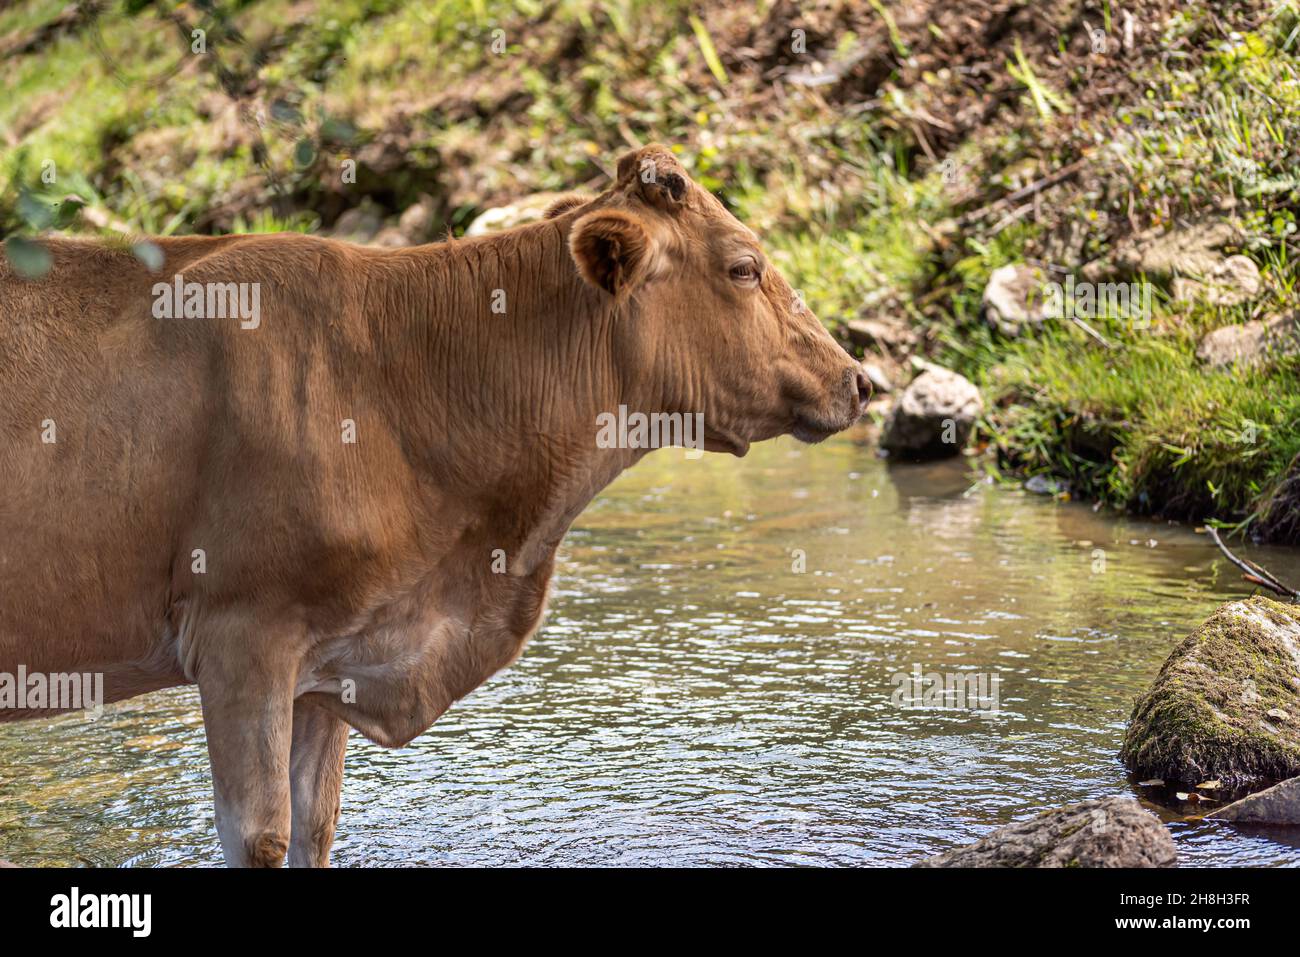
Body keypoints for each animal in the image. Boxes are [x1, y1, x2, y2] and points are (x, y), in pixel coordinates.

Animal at [0, 145, 869, 866]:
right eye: (745, 268)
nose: (860, 379)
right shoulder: (241, 632)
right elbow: (263, 834)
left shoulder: (327, 660)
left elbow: (316, 827)